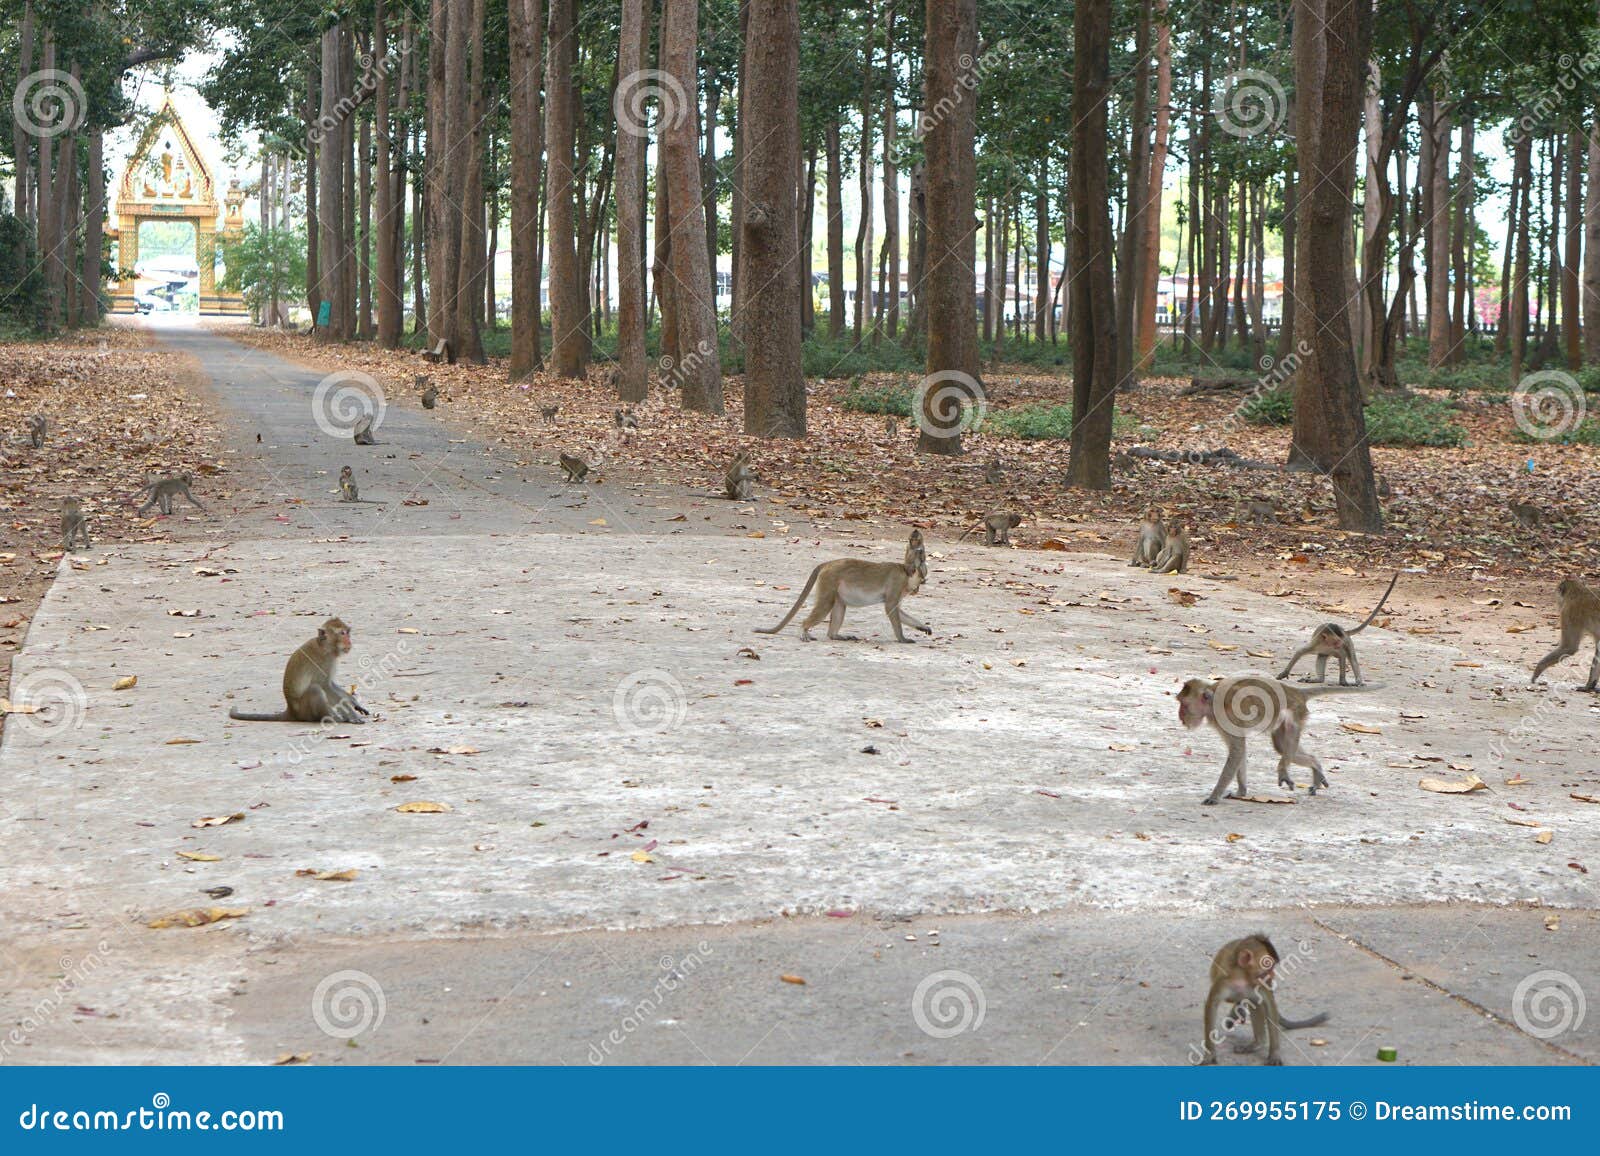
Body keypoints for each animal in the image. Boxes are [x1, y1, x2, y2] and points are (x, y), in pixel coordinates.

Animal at [227, 617, 370, 725]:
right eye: (342, 633)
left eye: (347, 632)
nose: (349, 642)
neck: (324, 646)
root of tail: (291, 710)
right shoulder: (324, 661)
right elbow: (325, 686)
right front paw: (352, 714)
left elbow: (331, 684)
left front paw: (354, 702)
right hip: (304, 710)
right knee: (315, 689)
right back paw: (332, 718)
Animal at [754, 529, 931, 643]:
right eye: (921, 581)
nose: (917, 590)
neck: (906, 573)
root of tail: (828, 563)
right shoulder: (896, 583)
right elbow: (891, 609)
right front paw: (902, 638)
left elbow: (897, 611)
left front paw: (922, 627)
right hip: (829, 580)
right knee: (825, 604)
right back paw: (804, 628)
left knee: (839, 605)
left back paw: (835, 635)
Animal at [1177, 675, 1364, 805]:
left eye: (1184, 705)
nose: (1180, 717)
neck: (1213, 698)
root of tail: (1294, 691)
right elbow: (1239, 750)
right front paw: (1241, 792)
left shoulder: (1224, 717)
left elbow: (1237, 750)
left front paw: (1215, 796)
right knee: (1282, 747)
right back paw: (1315, 764)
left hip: (1295, 713)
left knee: (1287, 743)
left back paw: (1287, 768)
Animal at [1199, 934, 1329, 1066]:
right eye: (1268, 965)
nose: (1272, 976)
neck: (1242, 978)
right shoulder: (1223, 982)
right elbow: (1211, 1005)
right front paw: (1210, 1054)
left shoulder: (1261, 985)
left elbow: (1269, 1005)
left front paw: (1275, 1054)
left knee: (1255, 1002)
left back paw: (1257, 1042)